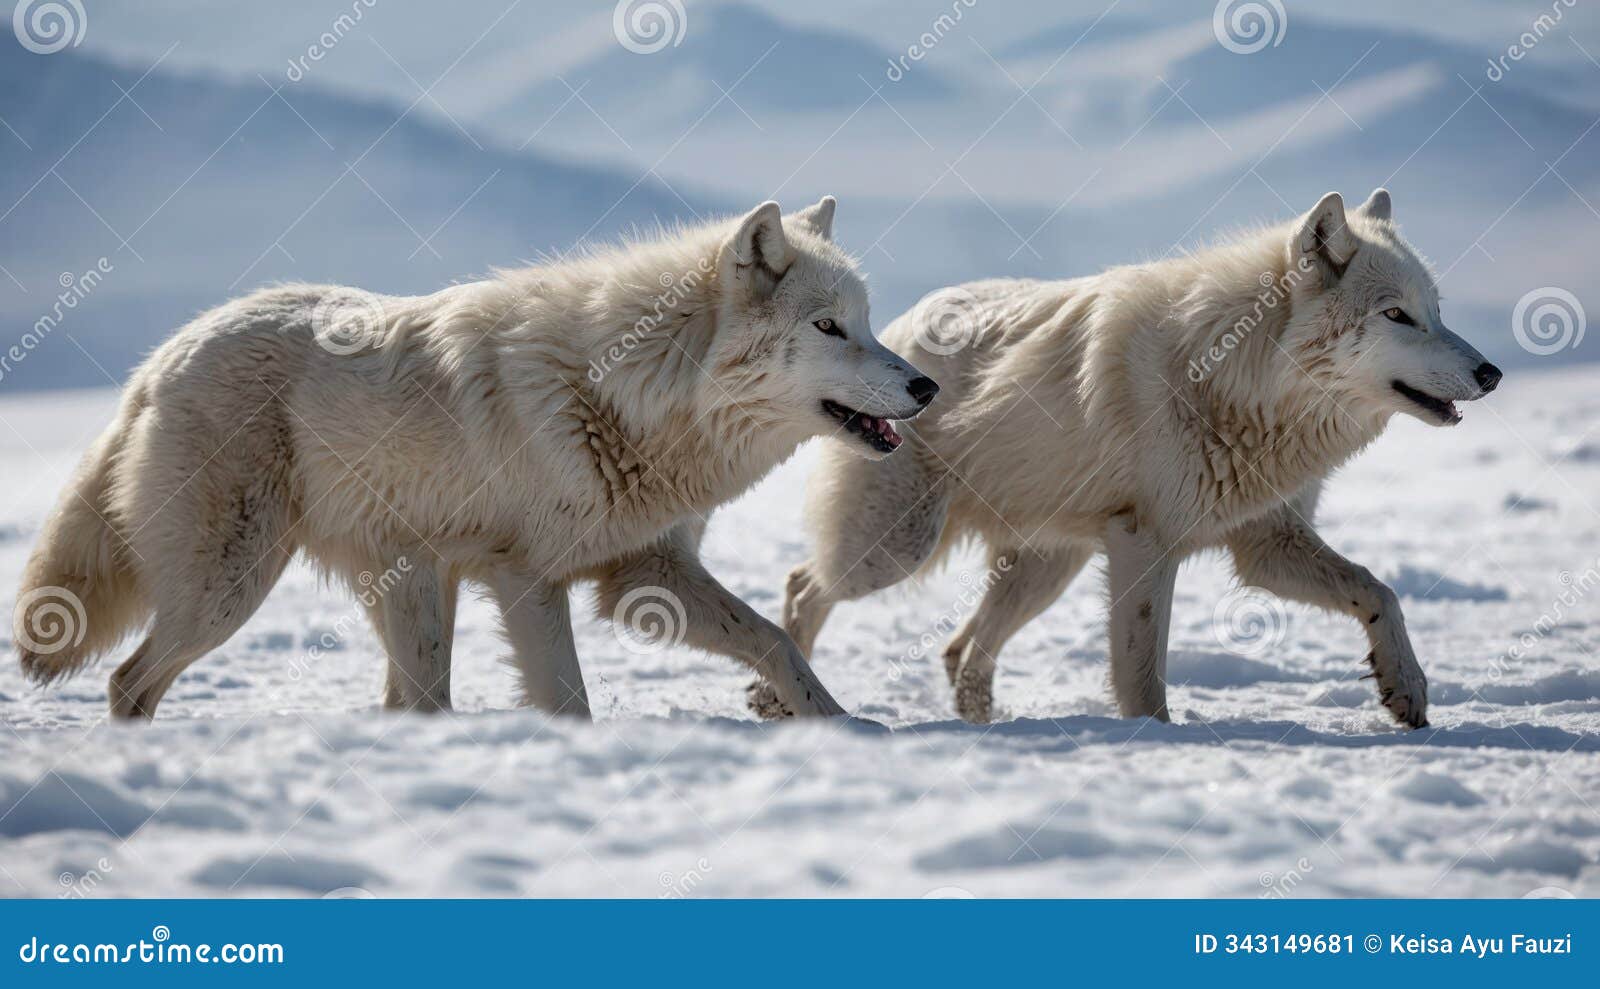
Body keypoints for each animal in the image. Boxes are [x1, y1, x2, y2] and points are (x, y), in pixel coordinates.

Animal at [14, 197, 939, 720]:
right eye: (829, 328)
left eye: (868, 323)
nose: (926, 385)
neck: (628, 389)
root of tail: (158, 361)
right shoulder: (526, 577)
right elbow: (569, 704)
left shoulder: (643, 574)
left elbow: (778, 643)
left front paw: (843, 725)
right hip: (233, 587)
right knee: (128, 682)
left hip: (413, 587)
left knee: (410, 704)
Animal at [762, 189, 1499, 729]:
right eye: (1397, 315)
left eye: (1437, 313)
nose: (1492, 372)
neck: (1236, 377)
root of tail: (899, 326)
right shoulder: (1144, 542)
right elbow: (1143, 674)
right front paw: (1155, 743)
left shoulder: (1264, 542)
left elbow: (1379, 590)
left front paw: (1406, 687)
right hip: (894, 550)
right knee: (803, 584)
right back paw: (780, 696)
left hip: (1046, 569)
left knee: (961, 648)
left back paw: (981, 726)